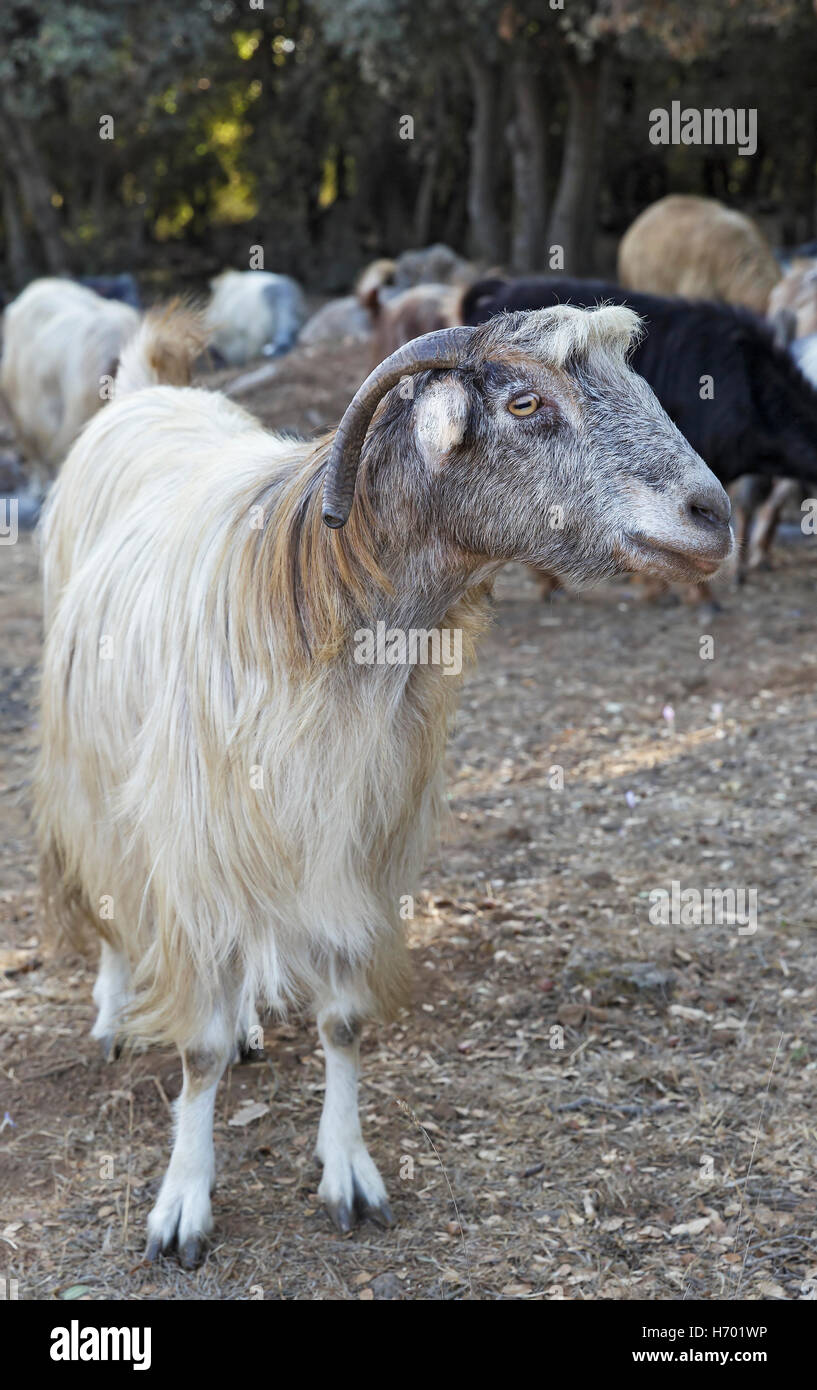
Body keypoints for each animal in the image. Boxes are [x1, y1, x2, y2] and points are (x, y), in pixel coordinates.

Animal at [35, 302, 731, 1265]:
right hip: (96, 766)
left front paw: (348, 1173)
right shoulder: (200, 836)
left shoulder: (358, 843)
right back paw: (110, 1011)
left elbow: (343, 1021)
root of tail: (148, 392)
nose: (713, 513)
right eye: (524, 402)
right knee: (105, 883)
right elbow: (197, 1052)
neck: (319, 599)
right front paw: (182, 1204)